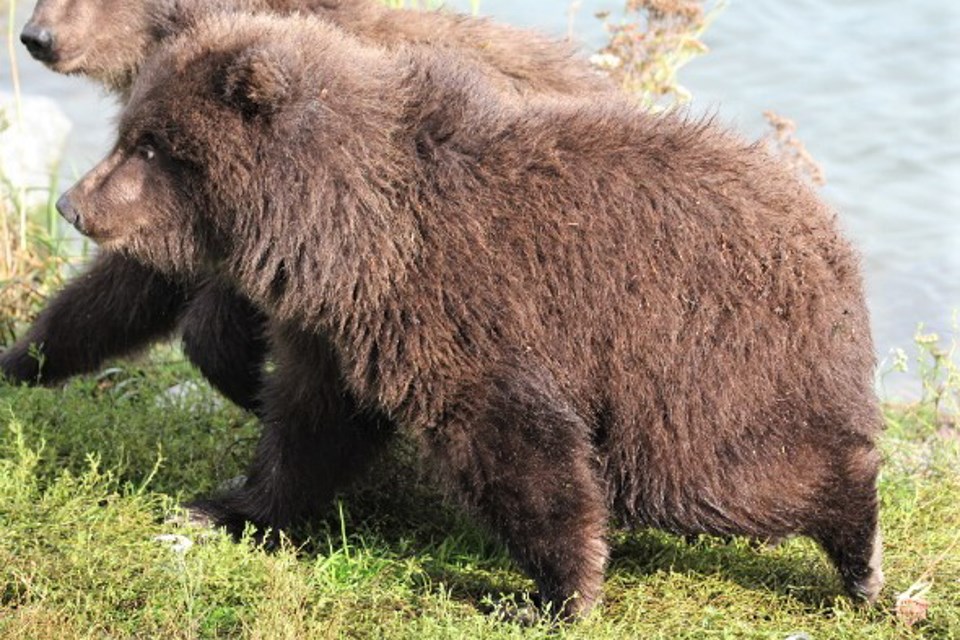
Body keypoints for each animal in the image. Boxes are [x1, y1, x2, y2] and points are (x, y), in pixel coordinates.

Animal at [53, 12, 885, 618]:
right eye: (128, 134)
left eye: (151, 147)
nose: (72, 202)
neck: (342, 231)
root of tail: (835, 244)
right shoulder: (342, 331)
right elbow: (310, 429)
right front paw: (228, 507)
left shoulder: (459, 307)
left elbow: (515, 443)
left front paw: (557, 593)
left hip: (697, 362)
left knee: (726, 474)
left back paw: (862, 555)